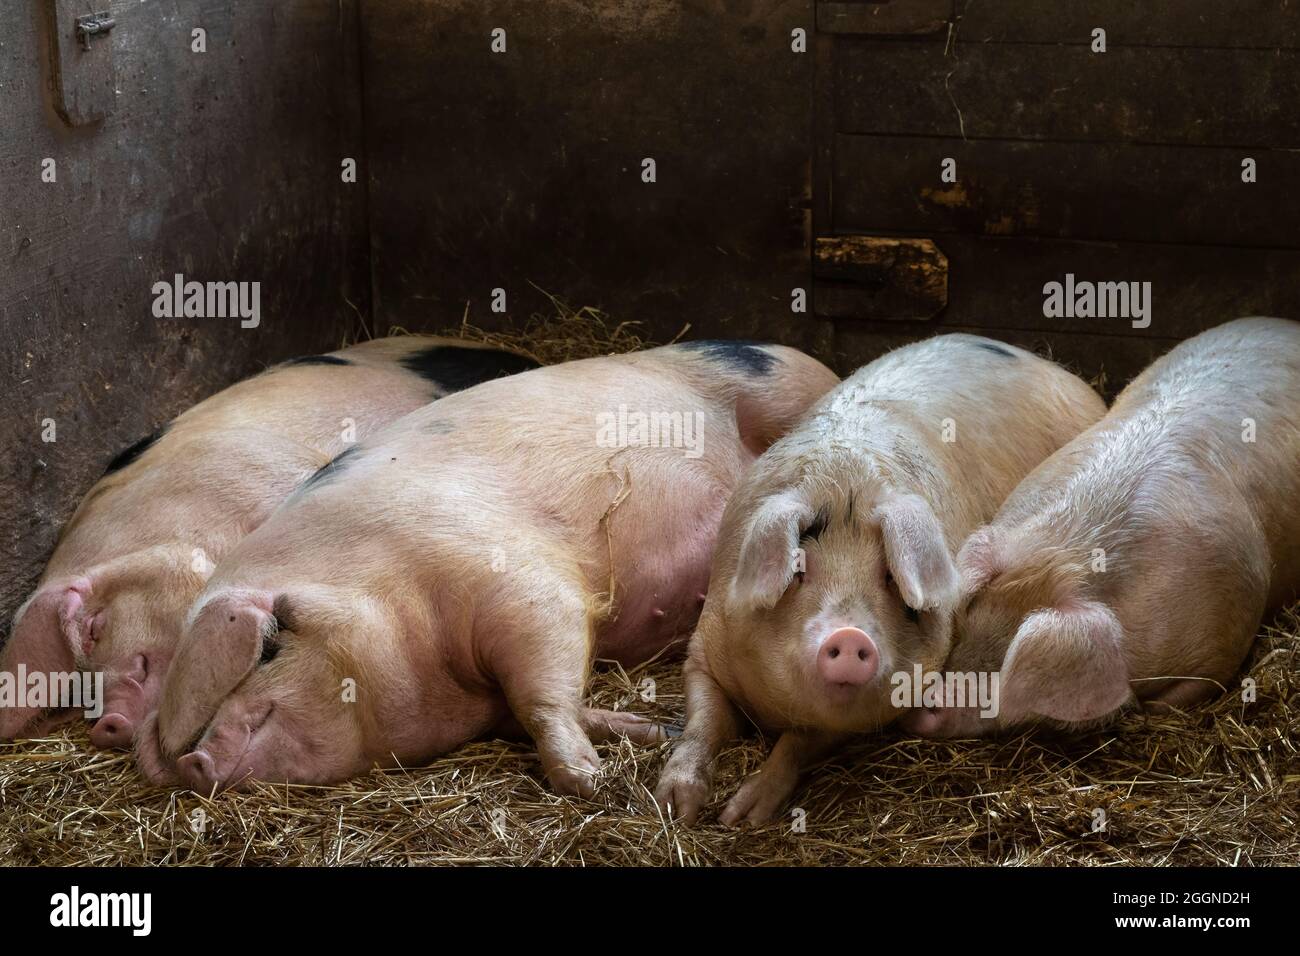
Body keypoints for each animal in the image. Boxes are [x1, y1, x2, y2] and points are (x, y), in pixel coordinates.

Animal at [136, 341, 839, 796]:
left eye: (269, 649)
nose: (195, 762)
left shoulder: (526, 587)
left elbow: (542, 696)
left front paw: (593, 782)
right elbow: (541, 708)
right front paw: (651, 732)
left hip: (785, 390)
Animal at [653, 334, 1107, 825]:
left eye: (888, 575)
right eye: (798, 569)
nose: (850, 636)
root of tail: (1048, 364)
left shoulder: (880, 710)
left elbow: (798, 744)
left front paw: (744, 816)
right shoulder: (704, 648)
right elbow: (701, 722)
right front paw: (679, 809)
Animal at [900, 317, 1300, 739]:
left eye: (1011, 669)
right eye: (972, 612)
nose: (922, 704)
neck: (1066, 556)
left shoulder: (1228, 639)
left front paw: (1142, 709)